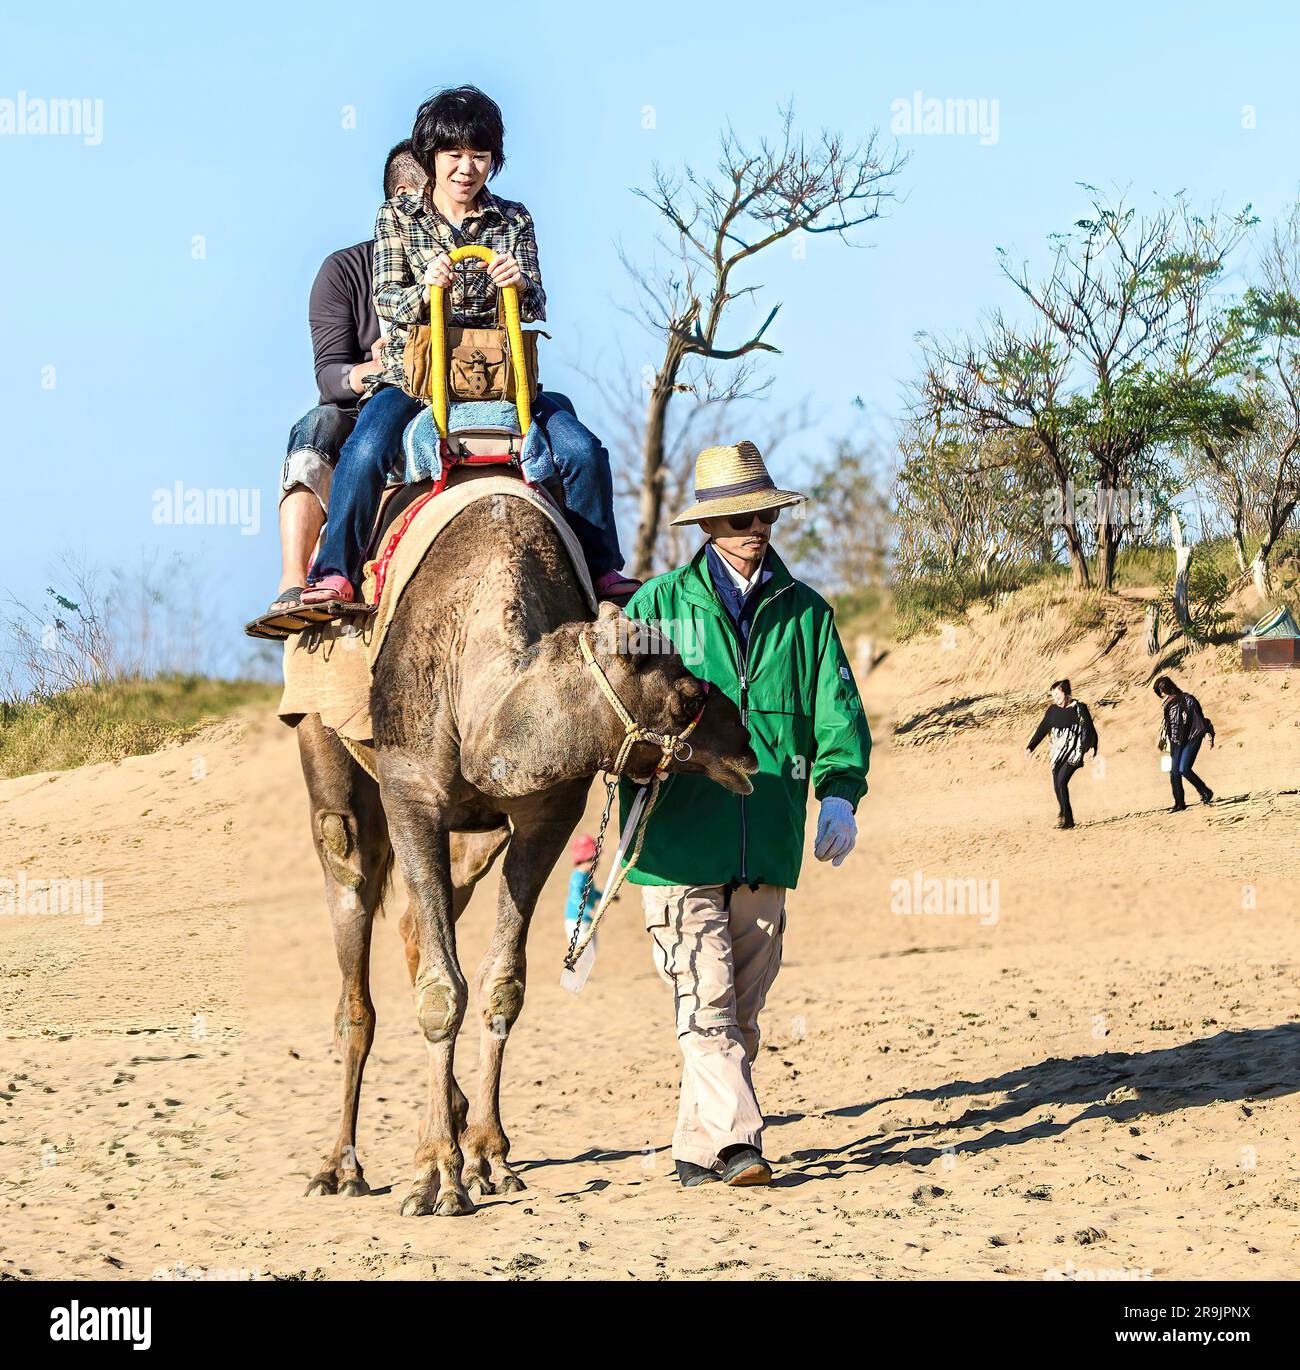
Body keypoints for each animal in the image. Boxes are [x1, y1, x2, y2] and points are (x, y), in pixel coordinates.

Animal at [296, 481, 757, 1216]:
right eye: (686, 693)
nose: (745, 745)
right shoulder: (411, 794)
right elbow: (441, 990)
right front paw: (436, 1175)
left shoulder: (547, 814)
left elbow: (499, 982)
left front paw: (486, 1157)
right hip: (326, 747)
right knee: (351, 915)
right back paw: (341, 1165)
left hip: (475, 840)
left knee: (415, 924)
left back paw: (447, 1117)